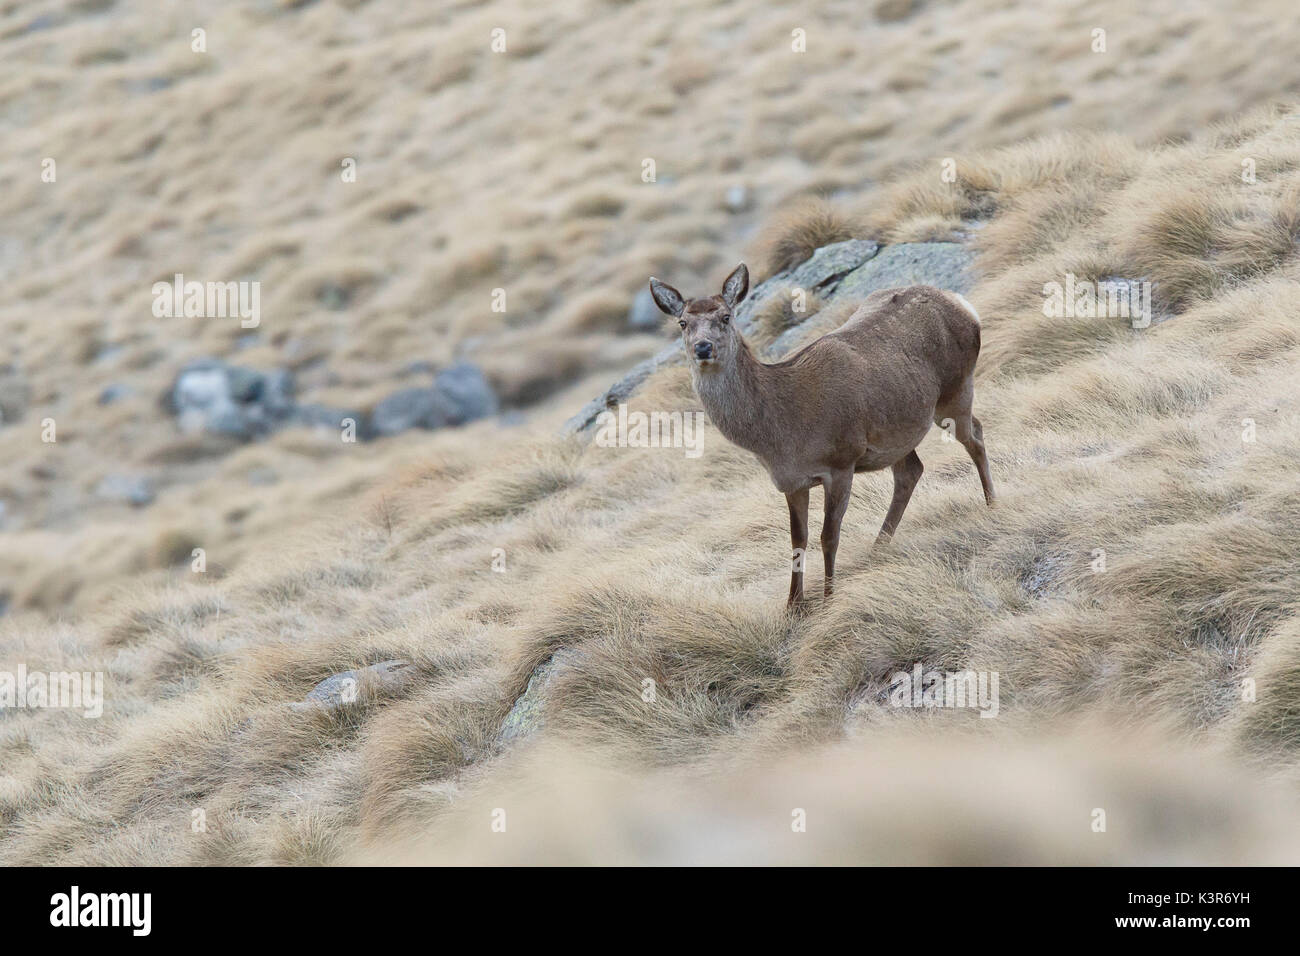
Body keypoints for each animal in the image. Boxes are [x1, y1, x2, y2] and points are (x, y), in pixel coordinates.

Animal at [649, 263, 994, 606]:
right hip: (898, 430)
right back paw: (877, 548)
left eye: (725, 317)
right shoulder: (791, 482)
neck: (782, 436)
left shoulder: (842, 461)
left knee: (975, 436)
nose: (702, 347)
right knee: (911, 471)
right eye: (683, 323)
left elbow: (828, 536)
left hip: (955, 388)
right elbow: (797, 539)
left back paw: (991, 504)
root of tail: (961, 303)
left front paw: (828, 598)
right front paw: (793, 605)